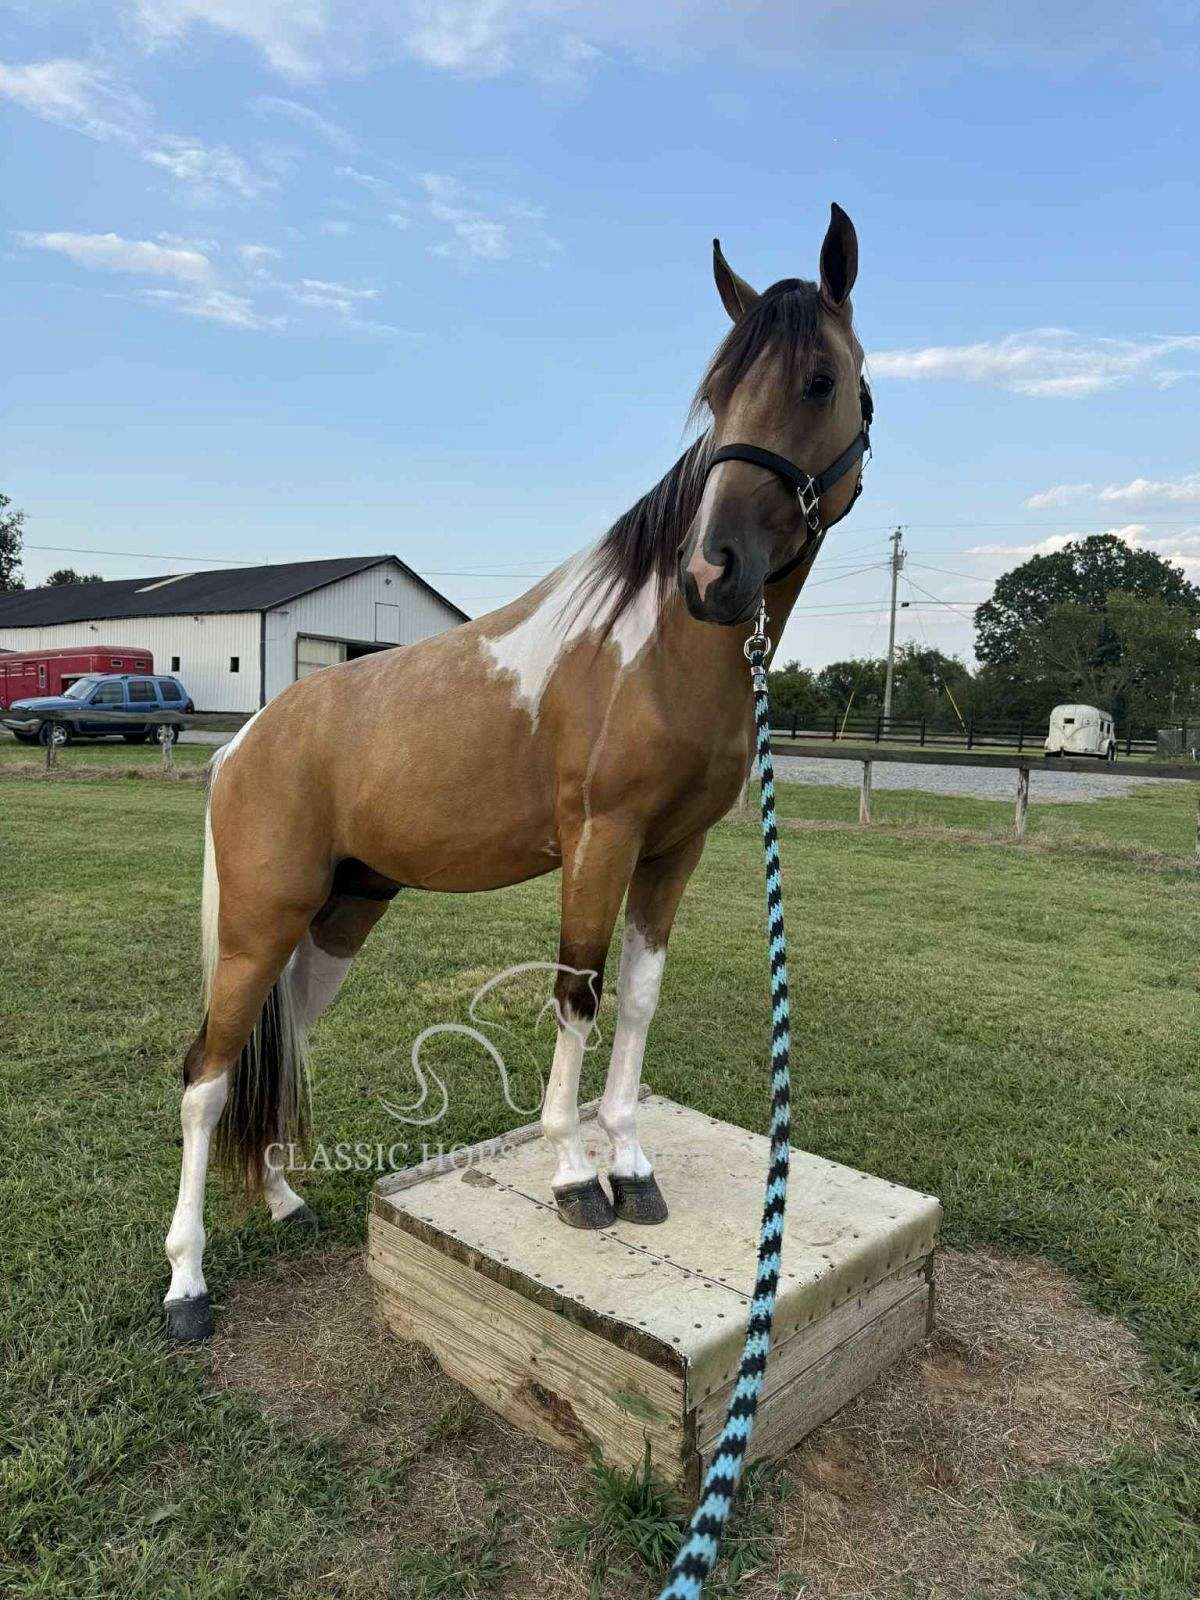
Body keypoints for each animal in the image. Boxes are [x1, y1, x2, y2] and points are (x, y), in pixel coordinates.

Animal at [164, 204, 872, 1343]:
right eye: (717, 395)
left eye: (818, 380)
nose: (711, 571)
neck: (657, 649)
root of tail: (246, 741)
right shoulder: (600, 841)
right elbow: (577, 994)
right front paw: (575, 1177)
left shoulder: (673, 851)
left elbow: (638, 997)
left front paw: (632, 1164)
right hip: (260, 922)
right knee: (206, 1076)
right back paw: (185, 1283)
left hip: (335, 918)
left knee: (280, 1050)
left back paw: (279, 1198)